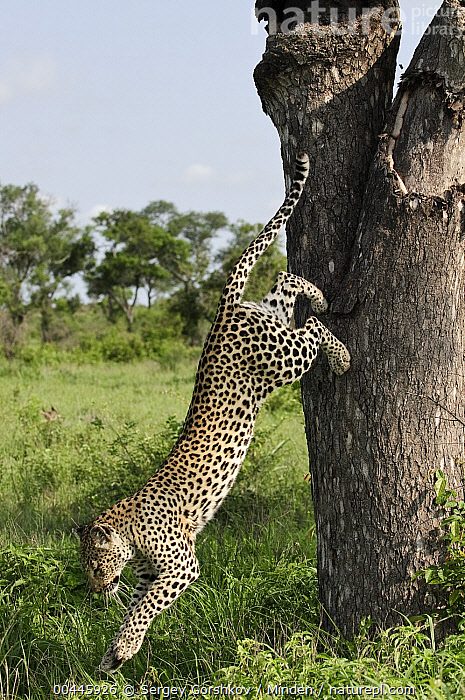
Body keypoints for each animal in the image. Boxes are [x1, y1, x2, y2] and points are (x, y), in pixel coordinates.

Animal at [75, 152, 350, 673]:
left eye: (95, 564)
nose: (95, 590)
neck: (130, 531)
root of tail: (221, 314)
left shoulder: (181, 566)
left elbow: (143, 610)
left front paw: (121, 647)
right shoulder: (150, 575)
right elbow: (139, 605)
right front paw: (114, 656)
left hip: (283, 359)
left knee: (310, 330)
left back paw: (341, 353)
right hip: (270, 321)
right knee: (284, 283)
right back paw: (319, 295)